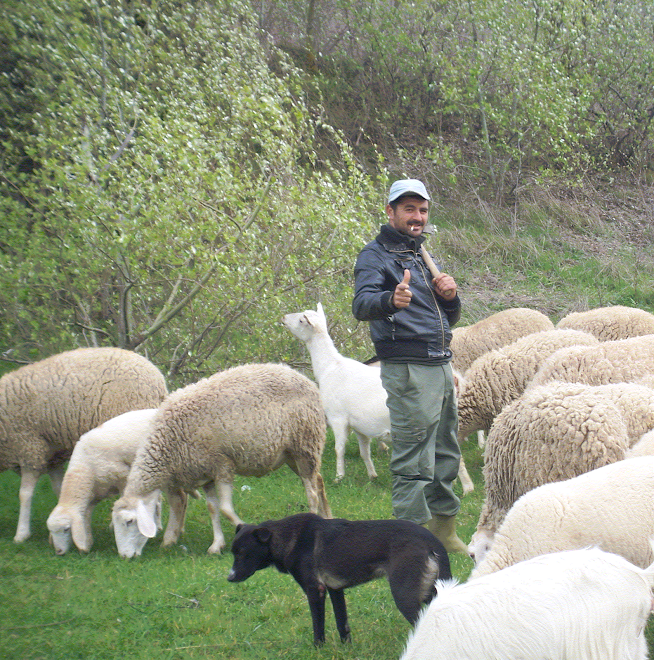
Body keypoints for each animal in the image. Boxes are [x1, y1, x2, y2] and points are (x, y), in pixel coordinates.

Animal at [47, 409, 163, 555]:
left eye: (66, 529)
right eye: (51, 531)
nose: (59, 552)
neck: (84, 470)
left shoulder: (122, 476)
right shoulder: (95, 493)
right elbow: (86, 515)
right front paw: (87, 543)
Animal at [111, 363, 332, 558]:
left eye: (129, 521)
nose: (124, 556)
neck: (169, 442)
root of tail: (304, 378)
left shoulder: (222, 465)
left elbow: (225, 509)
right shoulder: (205, 472)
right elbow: (213, 509)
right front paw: (217, 545)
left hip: (305, 444)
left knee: (311, 493)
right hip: (293, 455)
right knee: (319, 482)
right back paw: (327, 517)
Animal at [282, 303, 390, 482]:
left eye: (301, 320)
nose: (283, 318)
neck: (329, 366)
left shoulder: (338, 417)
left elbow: (339, 449)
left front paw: (339, 477)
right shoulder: (360, 425)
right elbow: (364, 452)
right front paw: (372, 475)